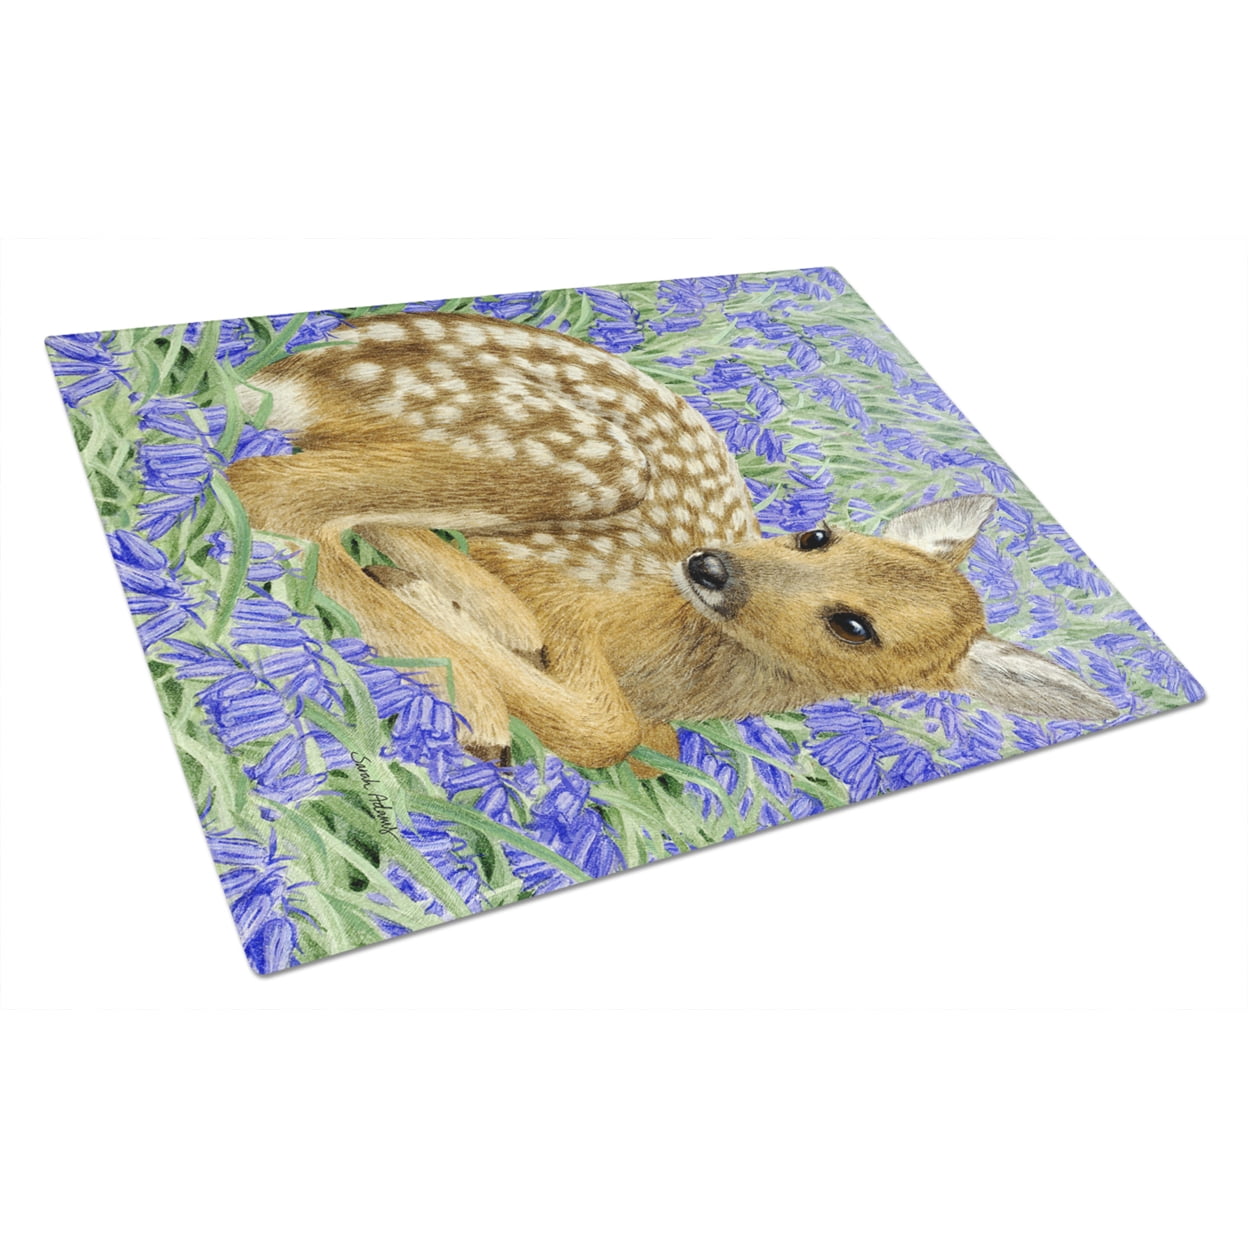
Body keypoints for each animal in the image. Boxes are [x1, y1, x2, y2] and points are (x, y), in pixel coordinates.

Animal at [225, 312, 1116, 771]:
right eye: (815, 534)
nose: (708, 564)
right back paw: (478, 685)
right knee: (267, 491)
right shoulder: (570, 598)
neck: (680, 672)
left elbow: (646, 743)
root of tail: (290, 371)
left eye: (856, 627)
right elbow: (607, 729)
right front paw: (483, 657)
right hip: (579, 457)